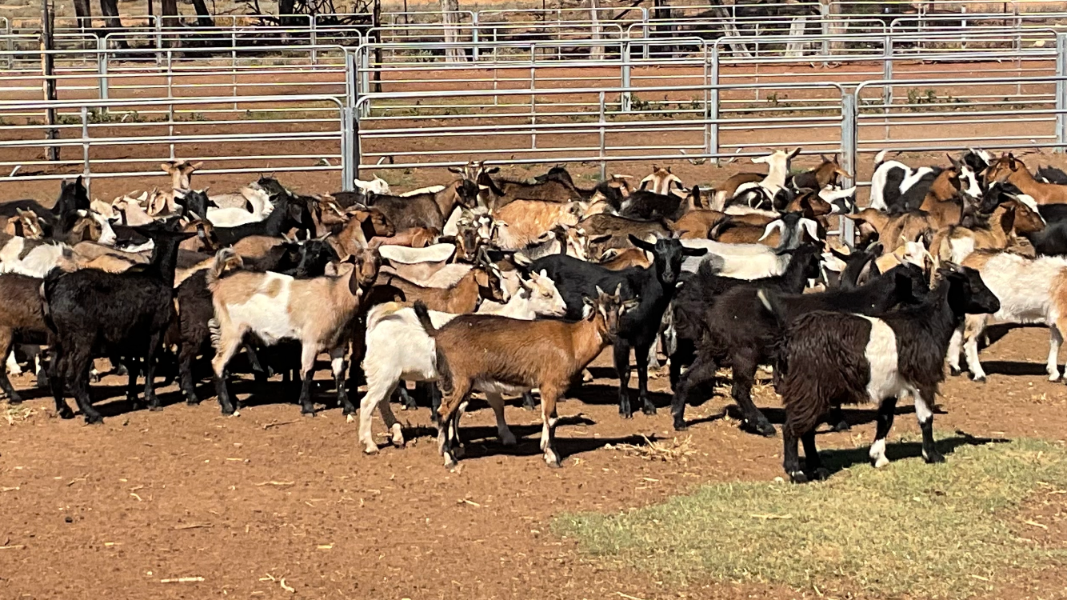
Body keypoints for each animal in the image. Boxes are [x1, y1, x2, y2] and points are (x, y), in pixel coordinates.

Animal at [413, 286, 631, 467]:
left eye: (622, 312)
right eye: (600, 311)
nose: (614, 332)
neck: (572, 340)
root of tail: (438, 332)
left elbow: (546, 418)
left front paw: (544, 448)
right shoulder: (550, 385)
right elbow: (552, 418)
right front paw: (552, 457)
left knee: (452, 413)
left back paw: (451, 449)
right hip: (460, 381)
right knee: (443, 414)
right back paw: (449, 459)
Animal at [763, 266, 999, 482]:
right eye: (975, 287)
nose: (996, 304)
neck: (927, 324)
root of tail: (789, 339)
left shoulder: (890, 387)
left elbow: (885, 420)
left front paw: (878, 457)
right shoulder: (923, 380)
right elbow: (926, 419)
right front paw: (933, 455)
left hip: (814, 391)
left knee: (807, 430)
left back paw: (818, 469)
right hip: (808, 388)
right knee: (792, 428)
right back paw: (797, 472)